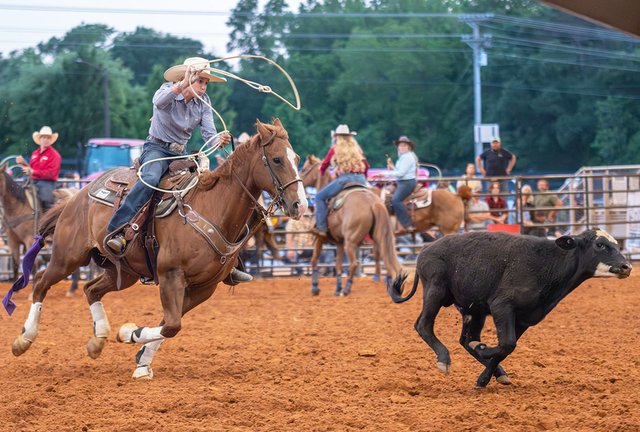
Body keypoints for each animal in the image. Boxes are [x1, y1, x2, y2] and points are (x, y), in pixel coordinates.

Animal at [387, 229, 632, 388]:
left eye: (617, 245)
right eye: (600, 245)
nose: (627, 266)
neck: (547, 264)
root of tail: (426, 249)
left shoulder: (525, 318)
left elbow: (506, 348)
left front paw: (484, 378)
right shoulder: (502, 306)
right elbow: (506, 344)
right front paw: (483, 352)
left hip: (473, 310)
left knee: (466, 339)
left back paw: (493, 367)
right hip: (435, 290)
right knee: (424, 325)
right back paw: (444, 360)